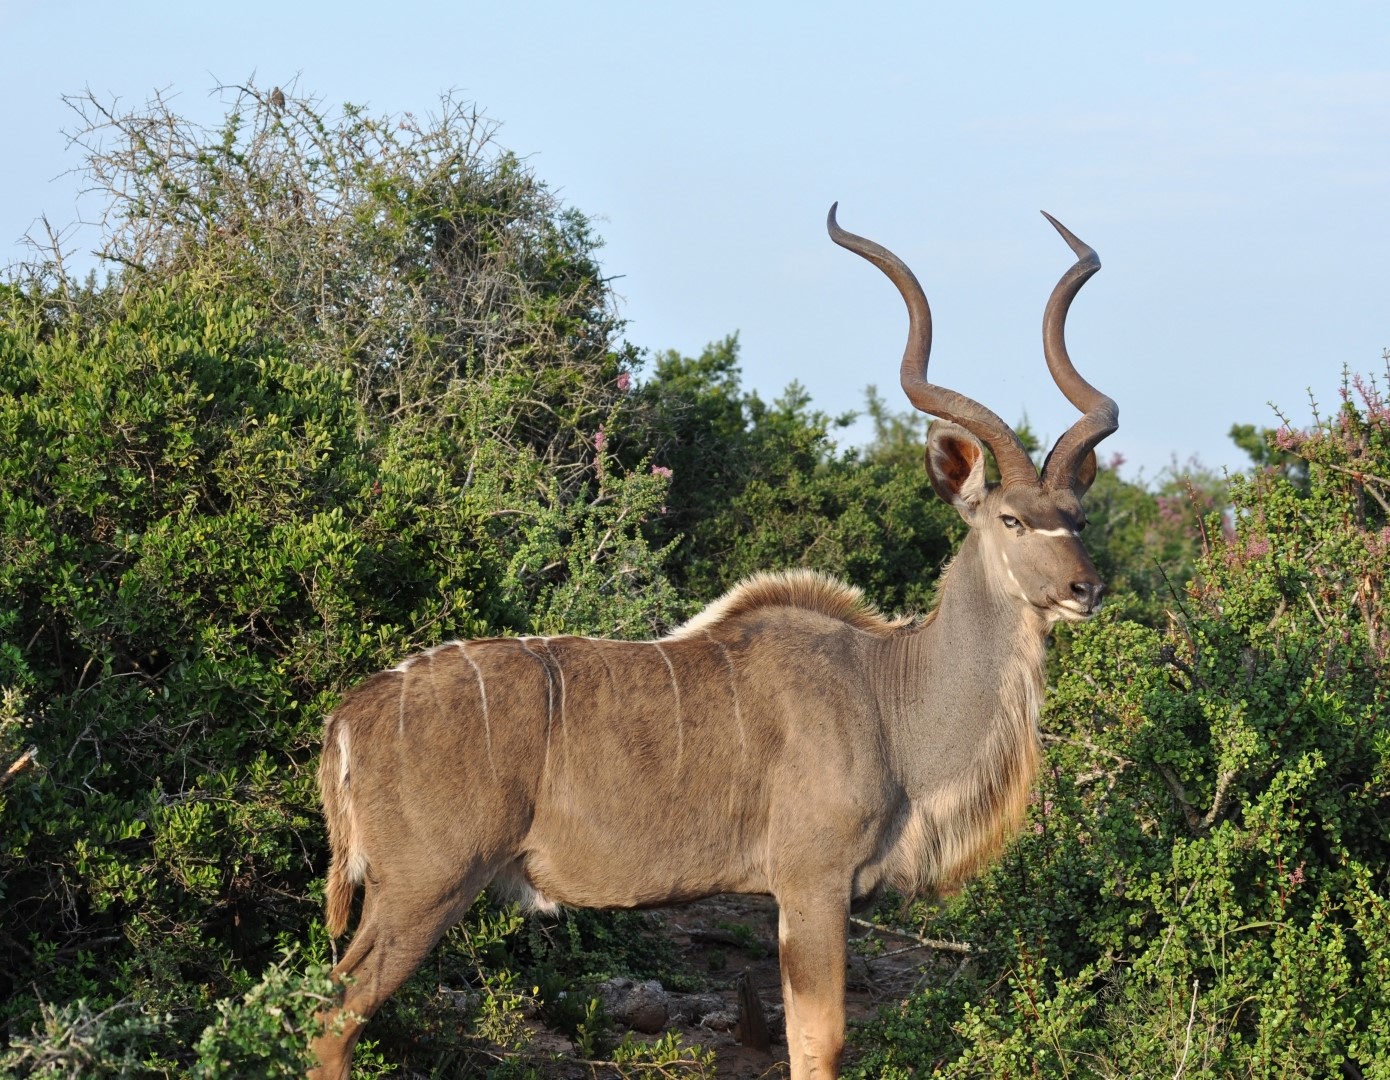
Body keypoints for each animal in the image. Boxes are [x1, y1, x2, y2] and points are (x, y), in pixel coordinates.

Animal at [310, 205, 1118, 1080]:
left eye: (1076, 515)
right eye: (1012, 520)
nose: (1086, 589)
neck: (888, 694)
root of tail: (350, 716)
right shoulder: (810, 884)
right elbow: (819, 1042)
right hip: (424, 887)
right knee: (332, 1017)